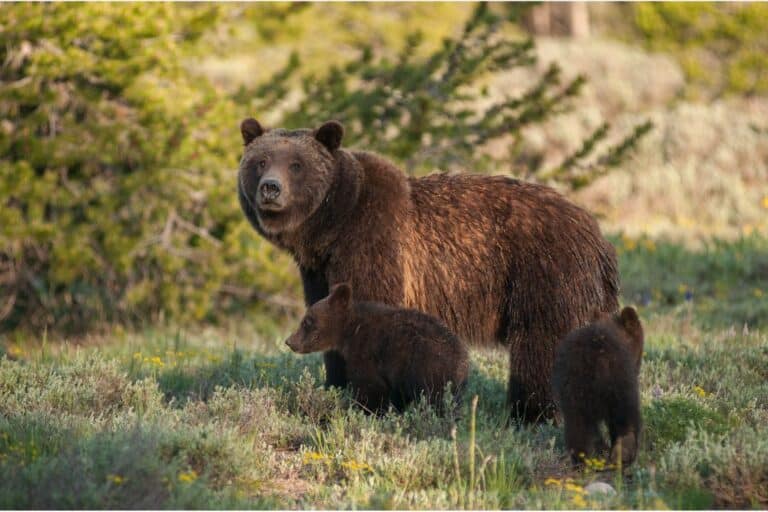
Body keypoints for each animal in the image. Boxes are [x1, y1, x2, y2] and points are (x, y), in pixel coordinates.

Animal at [284, 282, 469, 413]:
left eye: (307, 321)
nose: (289, 341)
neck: (351, 331)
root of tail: (463, 361)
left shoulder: (367, 352)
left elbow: (370, 387)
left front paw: (363, 409)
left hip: (428, 367)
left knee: (436, 399)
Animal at [551, 306, 644, 467]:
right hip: (617, 383)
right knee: (625, 415)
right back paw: (623, 453)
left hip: (572, 392)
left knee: (577, 425)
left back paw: (581, 458)